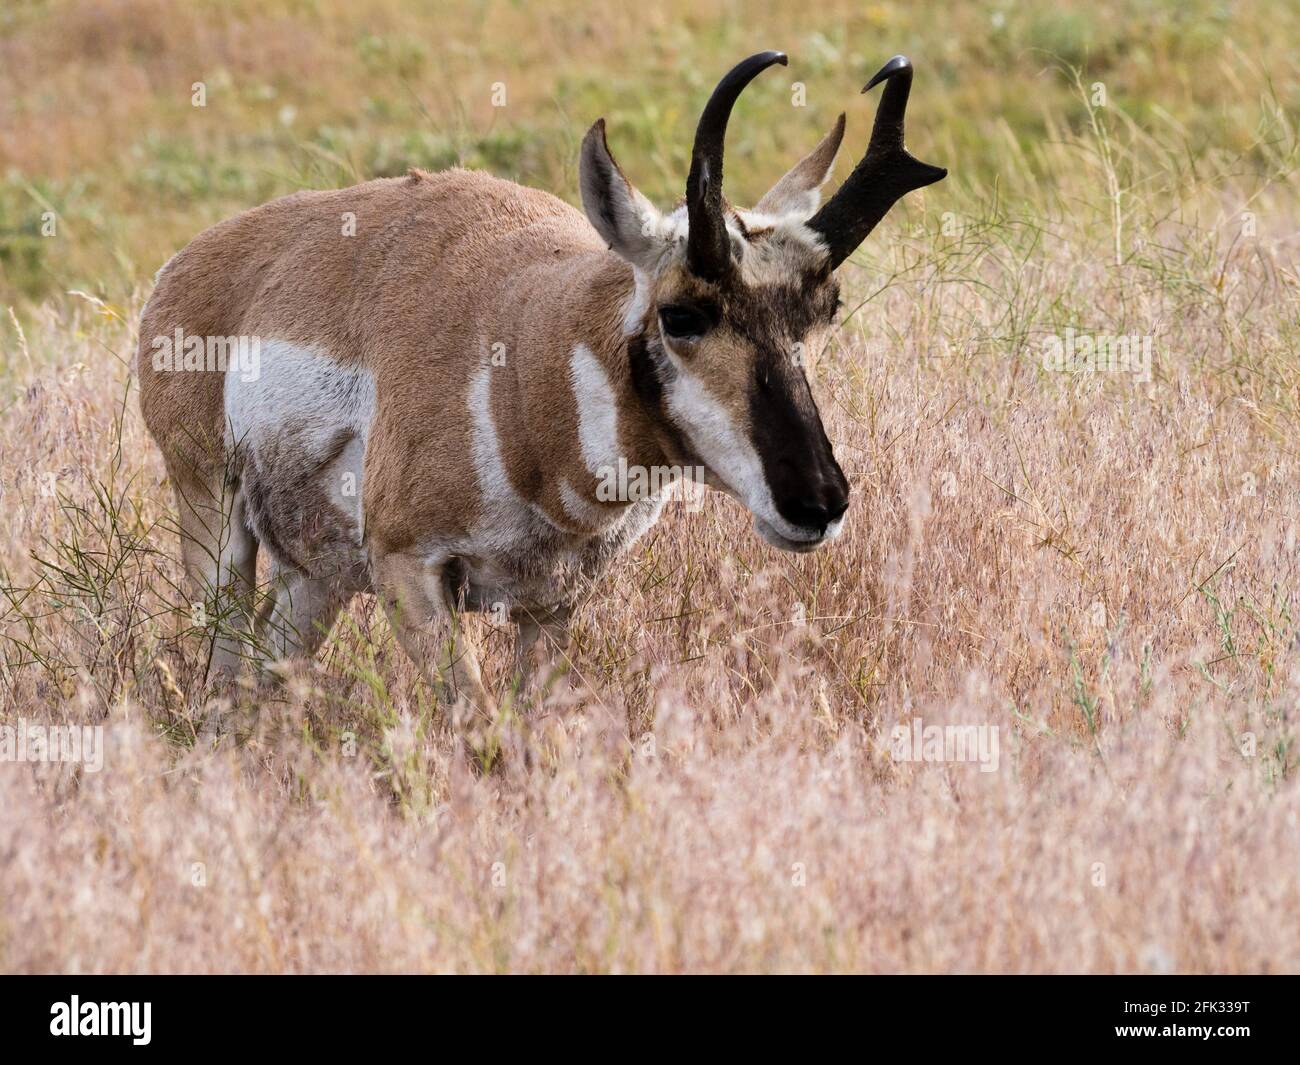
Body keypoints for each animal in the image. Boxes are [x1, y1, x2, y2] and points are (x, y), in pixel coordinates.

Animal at [137, 51, 945, 732]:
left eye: (824, 309)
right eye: (682, 314)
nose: (818, 502)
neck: (527, 347)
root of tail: (190, 263)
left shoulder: (552, 604)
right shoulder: (409, 569)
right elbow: (479, 734)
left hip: (317, 577)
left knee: (264, 679)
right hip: (215, 525)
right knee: (221, 674)